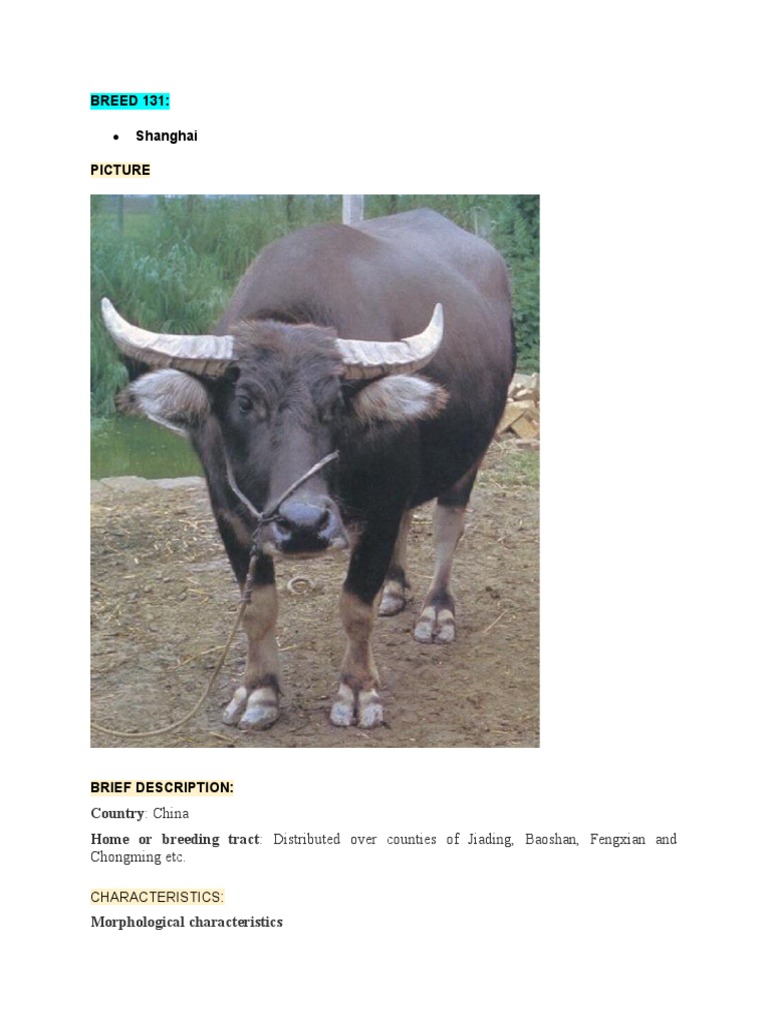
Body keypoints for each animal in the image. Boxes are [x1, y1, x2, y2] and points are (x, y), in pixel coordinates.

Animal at [102, 208, 515, 729]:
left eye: (334, 406)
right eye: (244, 402)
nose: (302, 525)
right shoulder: (229, 513)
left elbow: (355, 604)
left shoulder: (380, 506)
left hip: (471, 454)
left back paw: (436, 613)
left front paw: (357, 692)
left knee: (447, 527)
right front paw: (257, 691)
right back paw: (396, 590)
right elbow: (257, 608)